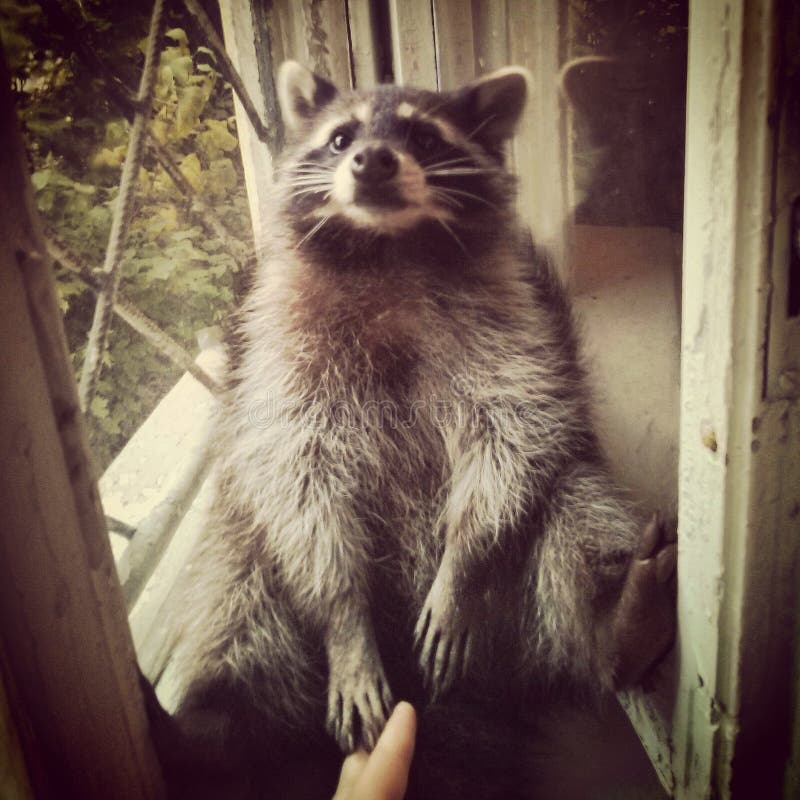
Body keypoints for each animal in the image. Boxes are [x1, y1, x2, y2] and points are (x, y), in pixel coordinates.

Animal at [155, 61, 677, 799]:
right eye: (341, 138)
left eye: (425, 139)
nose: (372, 161)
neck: (389, 246)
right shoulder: (277, 354)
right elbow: (298, 469)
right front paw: (344, 620)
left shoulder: (512, 324)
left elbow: (514, 430)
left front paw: (463, 561)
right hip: (251, 554)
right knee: (246, 576)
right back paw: (213, 729)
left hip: (523, 588)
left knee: (570, 507)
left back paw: (614, 621)